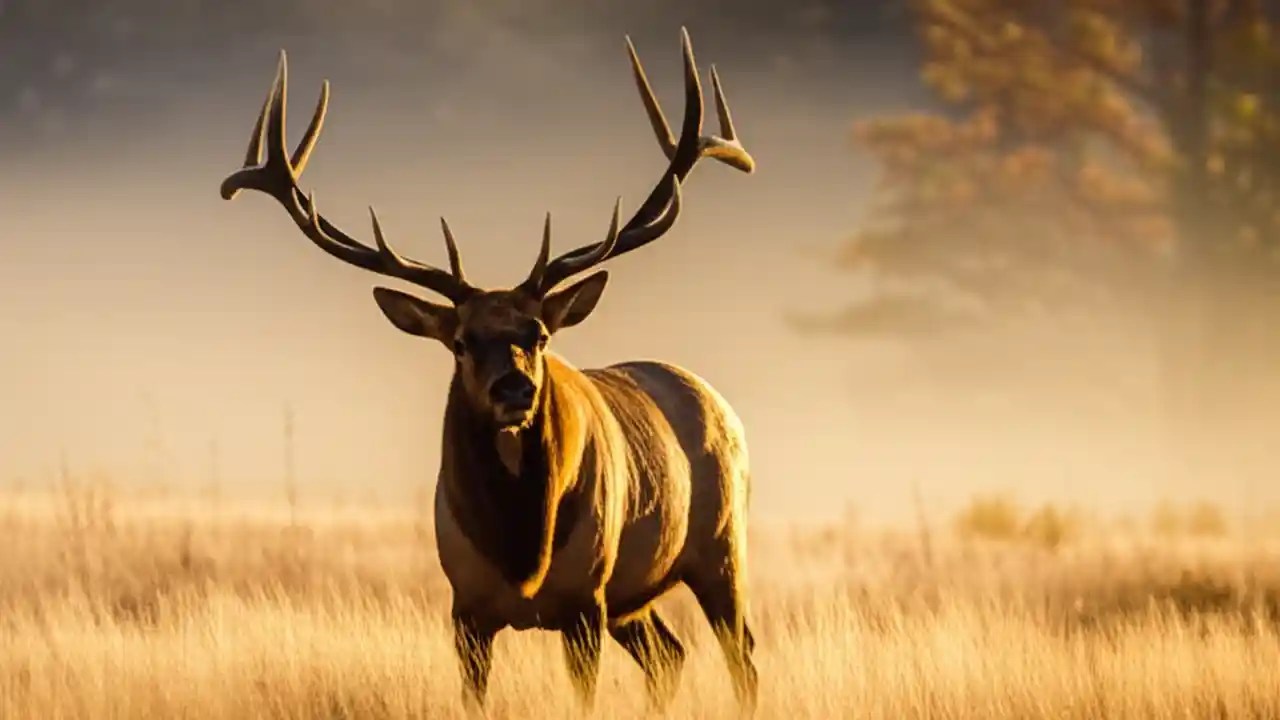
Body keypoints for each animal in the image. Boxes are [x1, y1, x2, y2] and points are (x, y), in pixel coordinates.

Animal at [218, 28, 758, 714]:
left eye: (541, 335)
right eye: (460, 341)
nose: (515, 389)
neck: (521, 557)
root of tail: (717, 402)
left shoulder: (584, 599)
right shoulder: (466, 607)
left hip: (721, 547)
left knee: (742, 659)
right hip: (634, 600)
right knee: (669, 655)